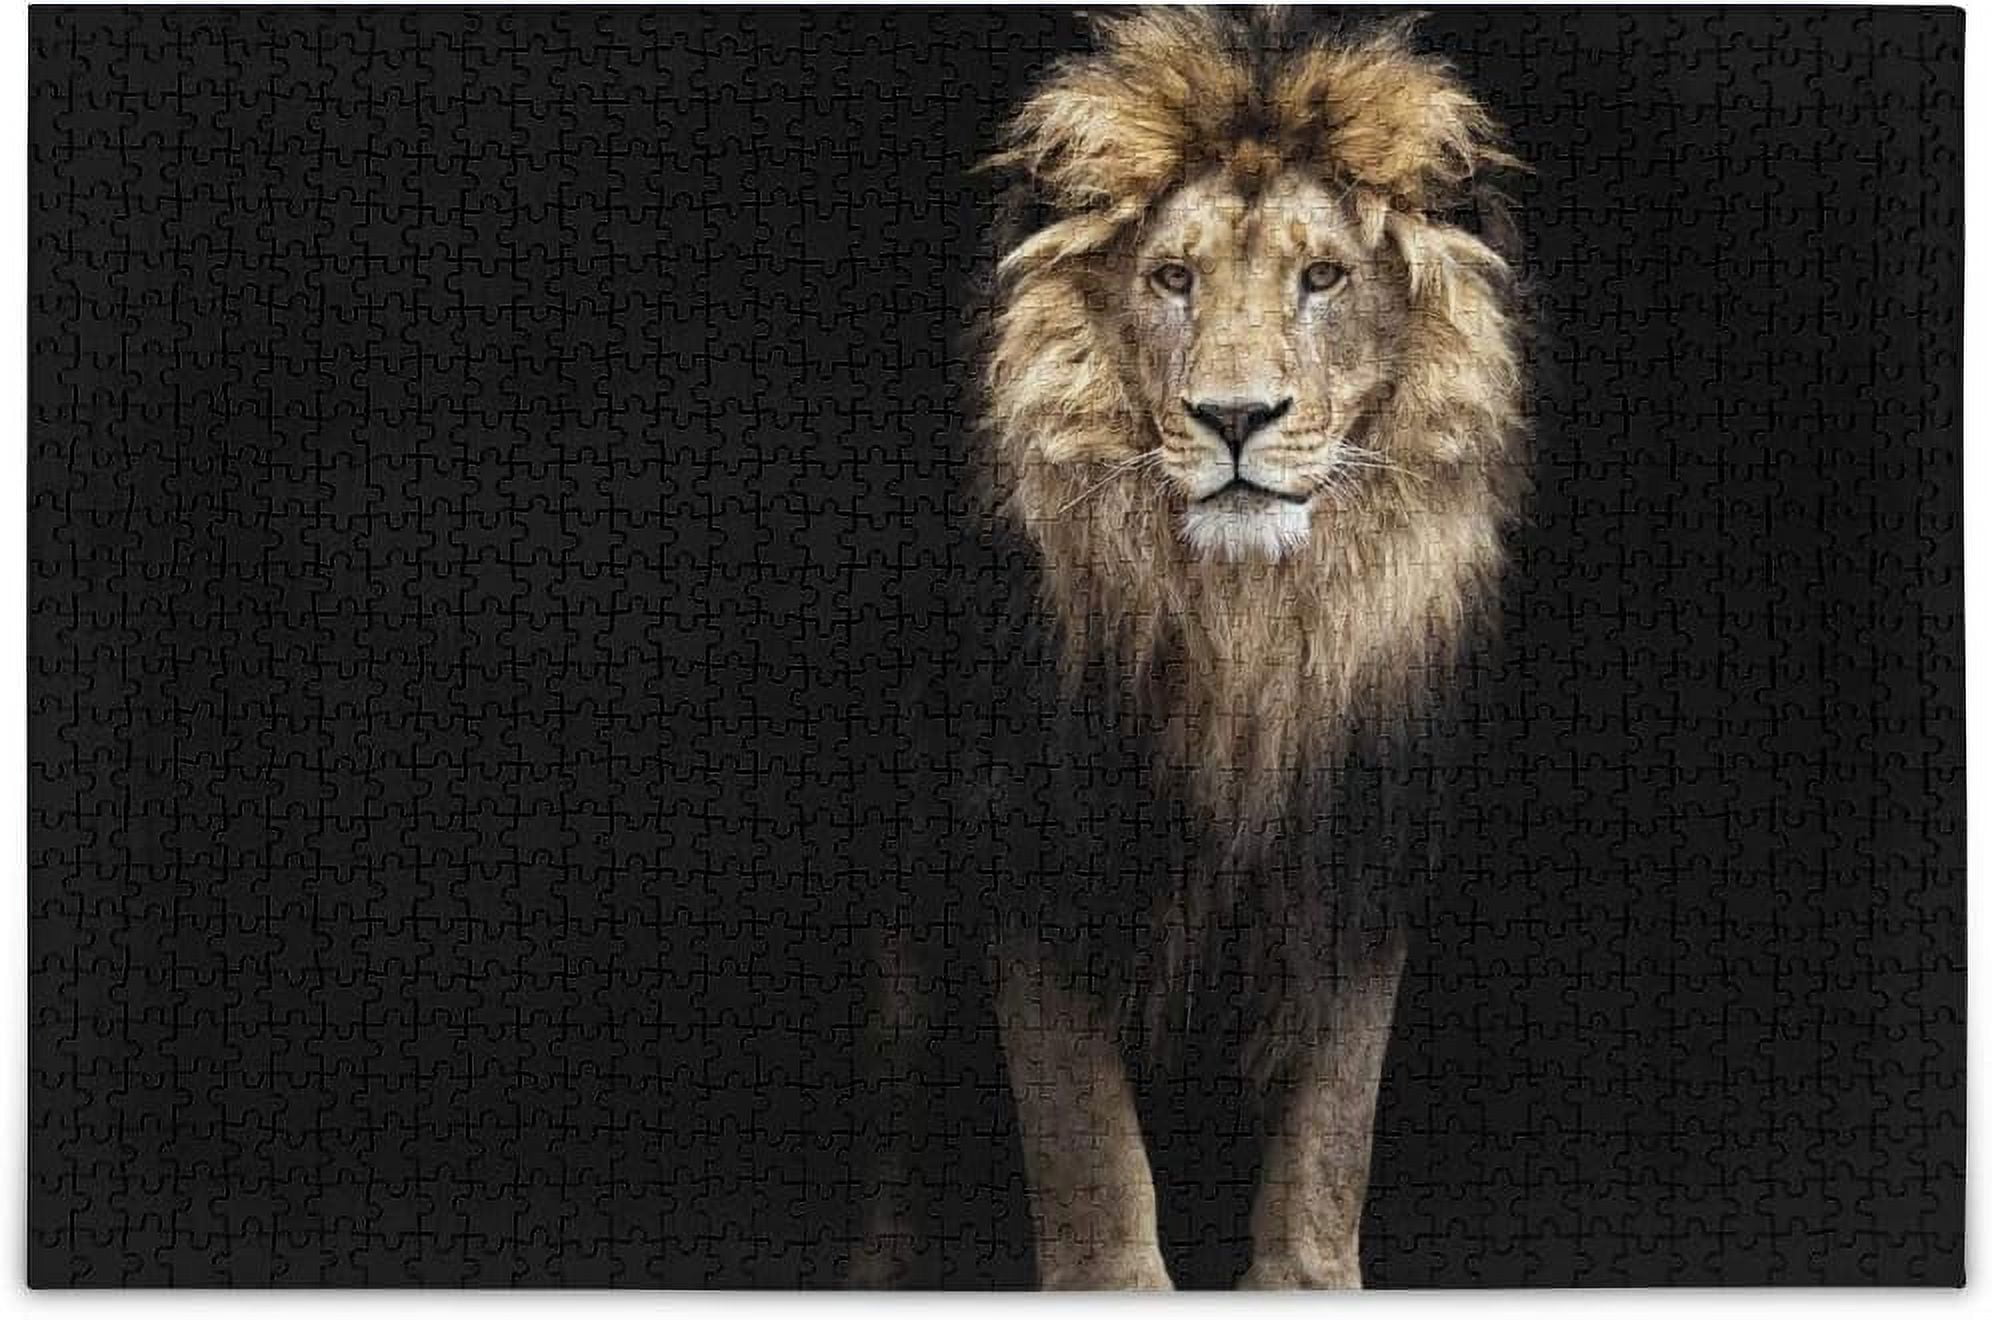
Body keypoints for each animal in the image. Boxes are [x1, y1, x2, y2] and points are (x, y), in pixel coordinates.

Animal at [849, 8, 1527, 1290]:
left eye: (1323, 277)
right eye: (1173, 279)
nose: (1235, 418)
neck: (1242, 625)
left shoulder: (1357, 845)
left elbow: (1335, 1120)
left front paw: (1307, 1281)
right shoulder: (1035, 838)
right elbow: (1083, 1128)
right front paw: (1113, 1282)